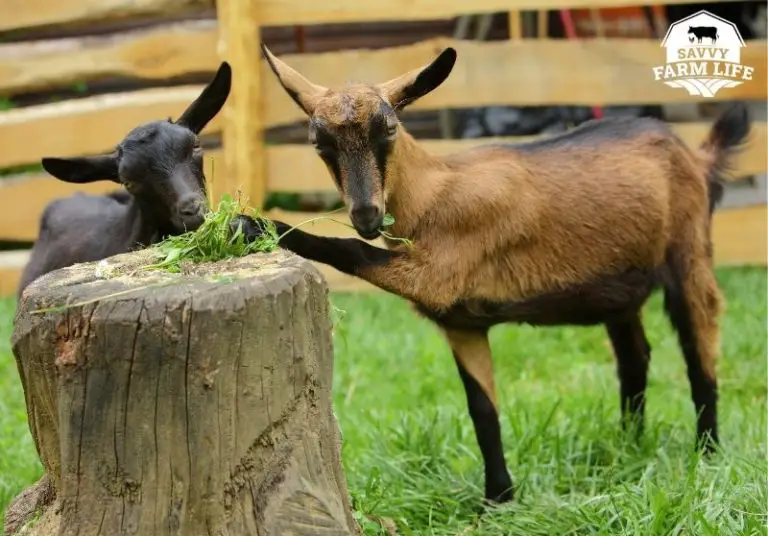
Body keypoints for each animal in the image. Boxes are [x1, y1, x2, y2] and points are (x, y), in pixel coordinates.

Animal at [233, 45, 751, 505]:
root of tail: (696, 155)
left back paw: (706, 453)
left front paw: (251, 225)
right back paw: (628, 444)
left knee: (700, 345)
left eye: (389, 129)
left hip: (690, 252)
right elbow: (483, 409)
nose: (366, 215)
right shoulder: (462, 322)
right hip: (618, 289)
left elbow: (350, 250)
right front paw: (499, 499)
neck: (434, 192)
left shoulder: (437, 274)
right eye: (320, 143)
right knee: (635, 357)